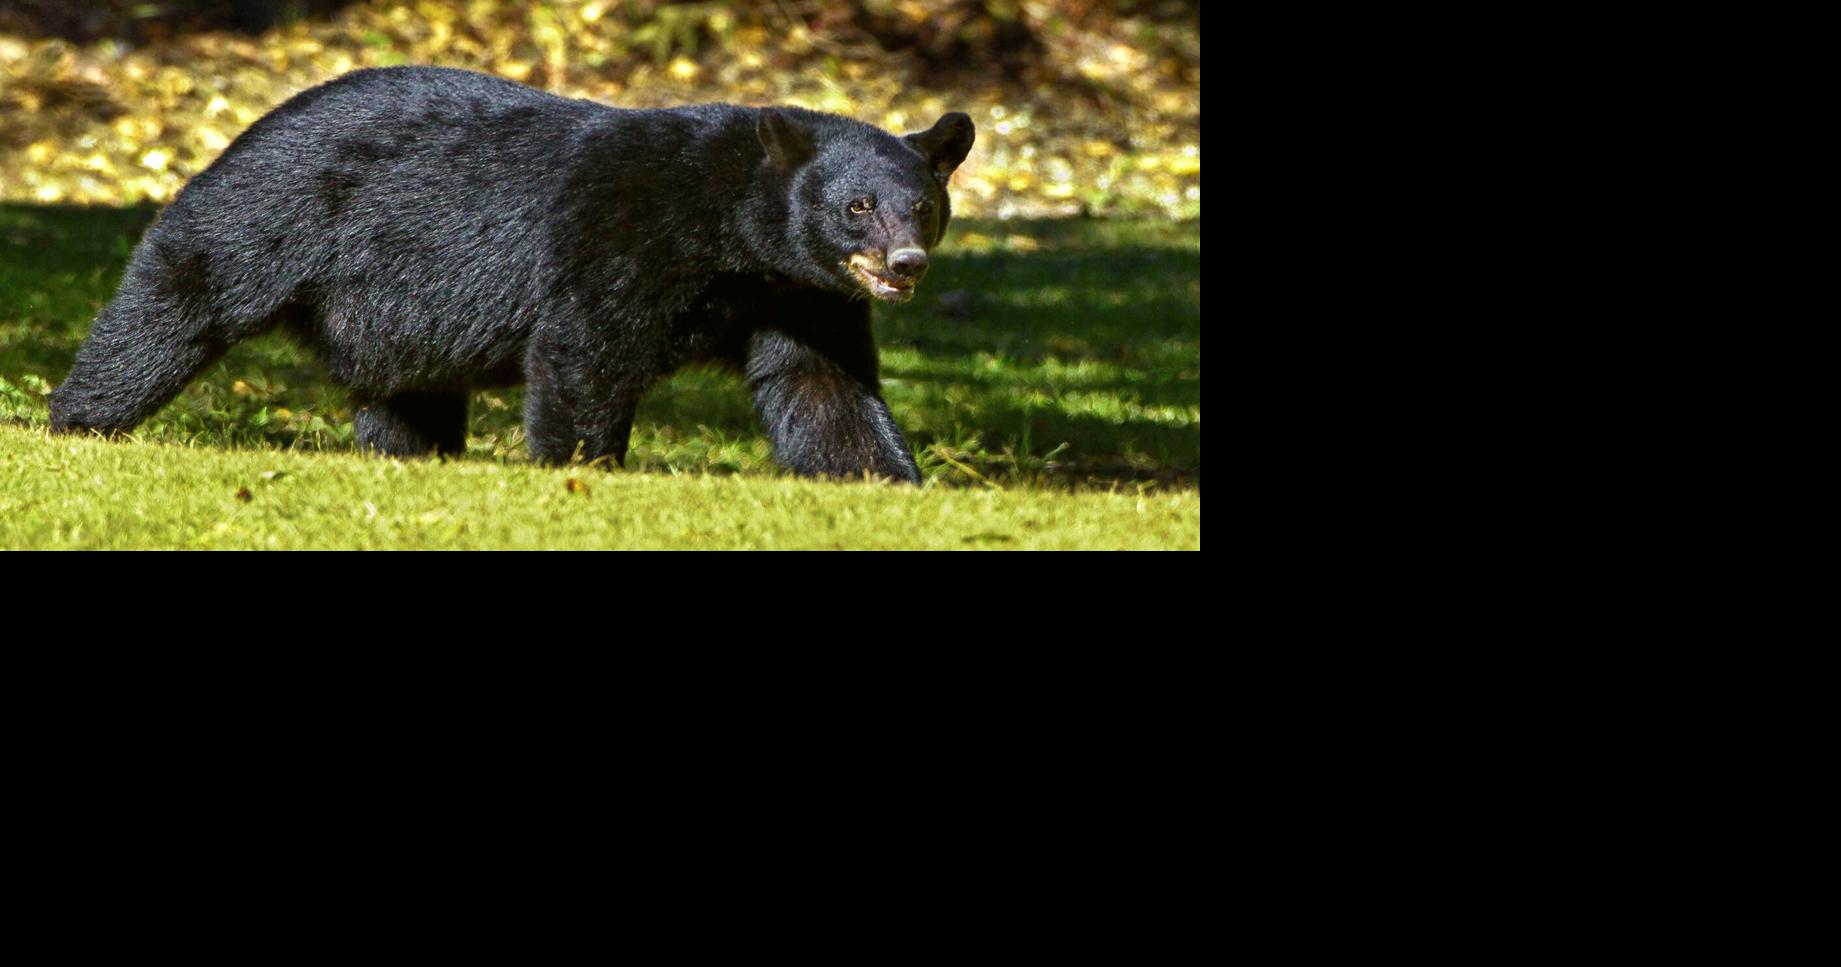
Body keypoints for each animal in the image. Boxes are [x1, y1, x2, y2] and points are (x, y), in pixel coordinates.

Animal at [48, 65, 975, 483]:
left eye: (923, 205)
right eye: (857, 205)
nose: (905, 262)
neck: (730, 235)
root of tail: (251, 123)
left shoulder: (800, 293)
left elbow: (823, 385)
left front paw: (885, 480)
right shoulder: (622, 234)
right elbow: (585, 349)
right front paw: (582, 470)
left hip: (390, 313)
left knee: (405, 392)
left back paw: (411, 456)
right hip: (269, 214)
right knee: (177, 302)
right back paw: (78, 419)